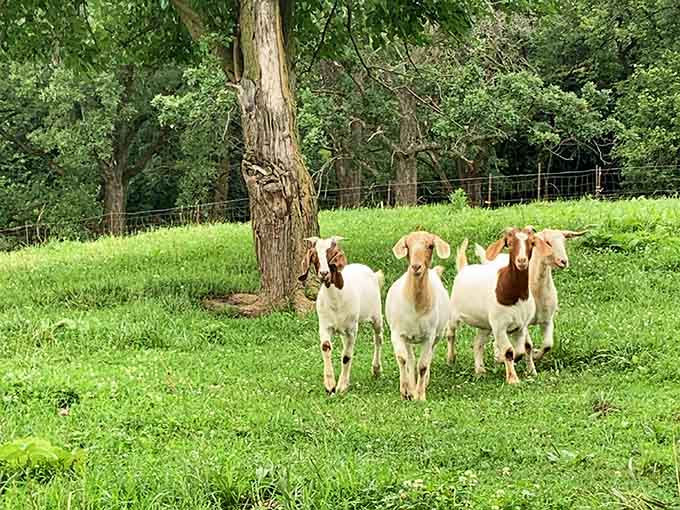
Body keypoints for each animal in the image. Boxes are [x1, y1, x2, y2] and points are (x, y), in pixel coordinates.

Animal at [298, 236, 384, 394]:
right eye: (314, 255)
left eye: (332, 253)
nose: (324, 273)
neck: (336, 299)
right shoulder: (325, 326)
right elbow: (326, 347)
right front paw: (330, 385)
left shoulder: (352, 330)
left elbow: (346, 356)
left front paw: (342, 387)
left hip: (376, 315)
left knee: (378, 339)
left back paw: (376, 370)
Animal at [385, 231, 451, 400]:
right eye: (407, 246)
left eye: (430, 246)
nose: (415, 266)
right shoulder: (397, 333)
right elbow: (403, 359)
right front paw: (405, 391)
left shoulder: (429, 335)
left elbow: (423, 365)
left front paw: (420, 396)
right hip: (408, 338)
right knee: (410, 359)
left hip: (437, 335)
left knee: (428, 357)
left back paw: (422, 384)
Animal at [448, 227, 552, 384]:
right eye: (509, 243)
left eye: (532, 243)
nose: (522, 261)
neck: (515, 295)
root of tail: (464, 268)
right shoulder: (500, 326)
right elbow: (509, 351)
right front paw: (513, 379)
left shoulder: (520, 325)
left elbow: (522, 349)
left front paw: (519, 365)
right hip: (454, 314)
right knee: (451, 333)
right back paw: (451, 359)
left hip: (485, 325)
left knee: (478, 343)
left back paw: (480, 371)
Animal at [473, 229, 586, 361]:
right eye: (547, 242)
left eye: (564, 242)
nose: (563, 261)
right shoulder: (524, 323)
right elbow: (527, 345)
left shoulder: (548, 319)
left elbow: (548, 345)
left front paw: (536, 355)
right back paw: (499, 356)